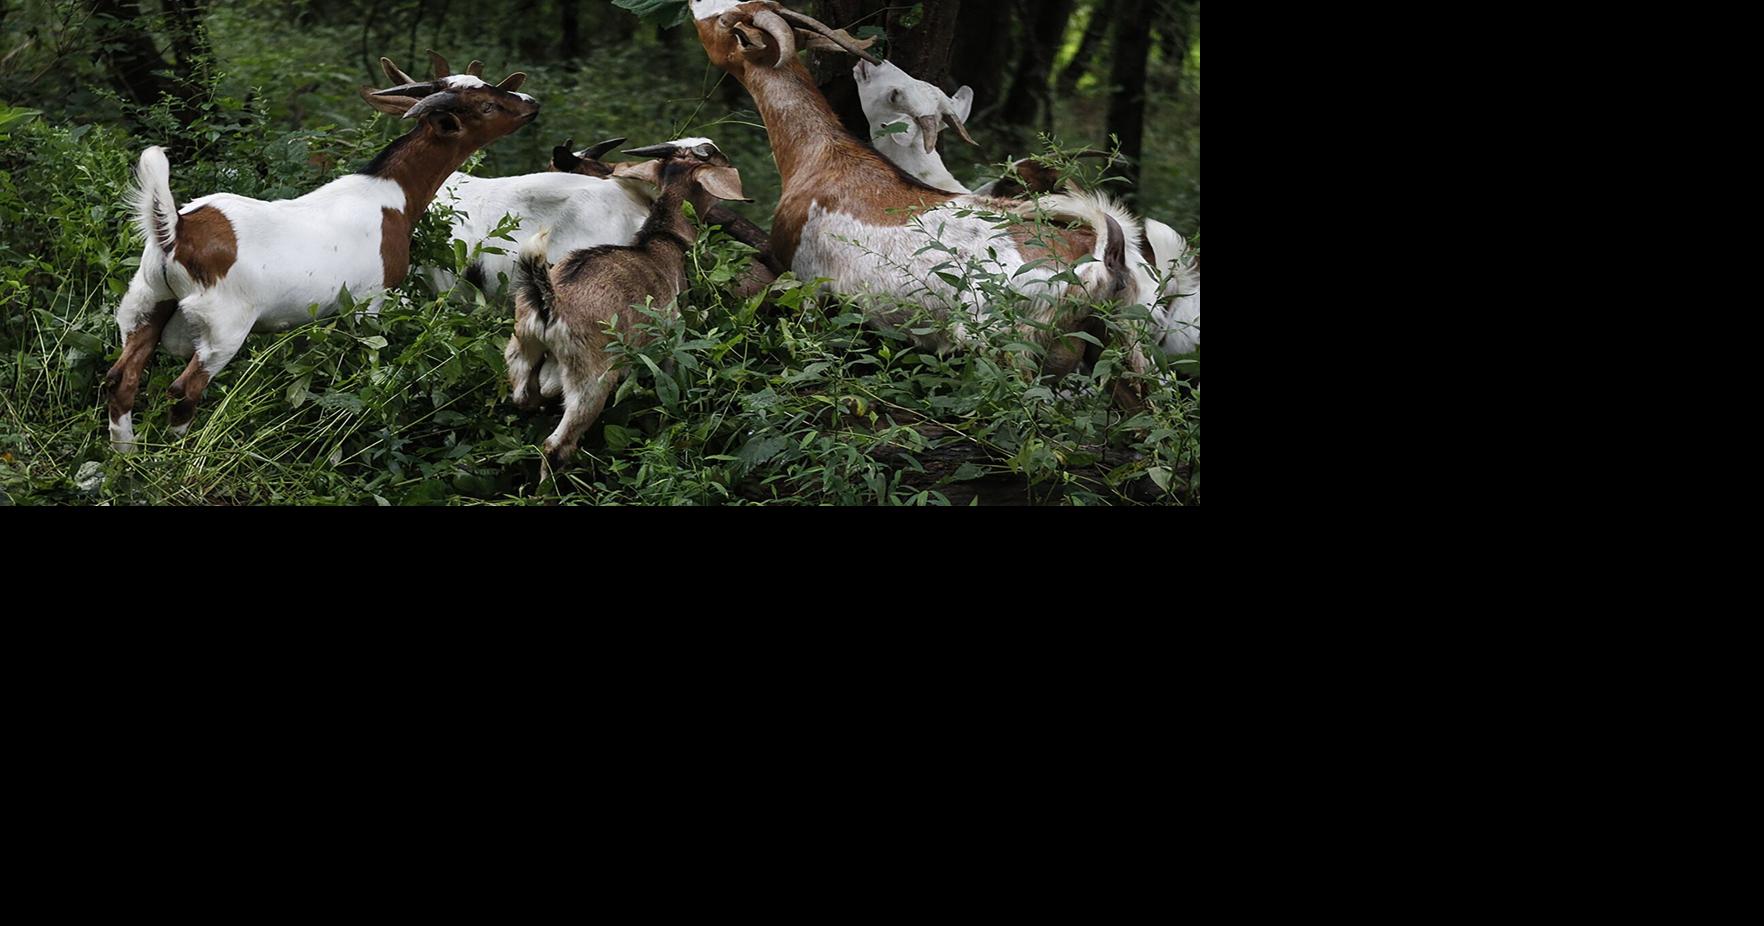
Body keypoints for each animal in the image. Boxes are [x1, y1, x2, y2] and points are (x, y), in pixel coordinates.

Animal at [103, 52, 538, 451]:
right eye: (486, 105)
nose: (531, 102)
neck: (393, 197)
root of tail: (176, 231)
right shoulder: (370, 302)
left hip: (146, 301)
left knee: (120, 378)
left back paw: (126, 459)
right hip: (222, 326)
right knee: (183, 391)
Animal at [508, 139, 750, 466]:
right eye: (714, 155)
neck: (659, 239)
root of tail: (548, 304)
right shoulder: (671, 339)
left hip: (521, 349)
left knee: (526, 397)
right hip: (591, 378)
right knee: (557, 444)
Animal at [690, 1, 1151, 395]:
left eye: (726, 23)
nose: (697, 5)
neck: (820, 157)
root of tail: (1105, 261)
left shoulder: (808, 286)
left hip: (1006, 344)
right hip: (1123, 344)